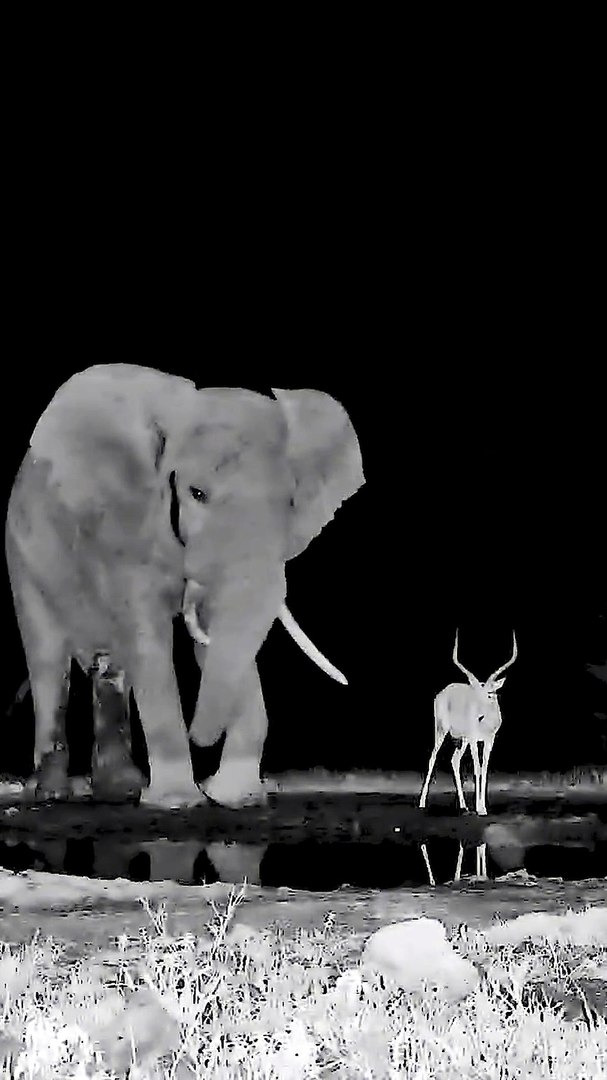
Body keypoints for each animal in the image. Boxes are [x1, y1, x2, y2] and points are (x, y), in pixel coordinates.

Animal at [5, 364, 364, 808]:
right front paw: (177, 801)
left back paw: (121, 789)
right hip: (23, 550)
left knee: (111, 666)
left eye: (290, 503)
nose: (202, 749)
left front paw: (237, 798)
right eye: (196, 494)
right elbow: (151, 640)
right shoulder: (129, 527)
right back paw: (52, 794)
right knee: (48, 658)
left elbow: (212, 641)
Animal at [419, 630, 518, 815]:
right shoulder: (473, 739)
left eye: (490, 694)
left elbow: (484, 769)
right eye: (476, 694)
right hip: (442, 730)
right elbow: (477, 768)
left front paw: (483, 806)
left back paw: (464, 805)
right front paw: (480, 808)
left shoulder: (490, 739)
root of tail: (443, 692)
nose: (477, 715)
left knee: (454, 760)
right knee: (432, 757)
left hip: (462, 739)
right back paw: (421, 803)